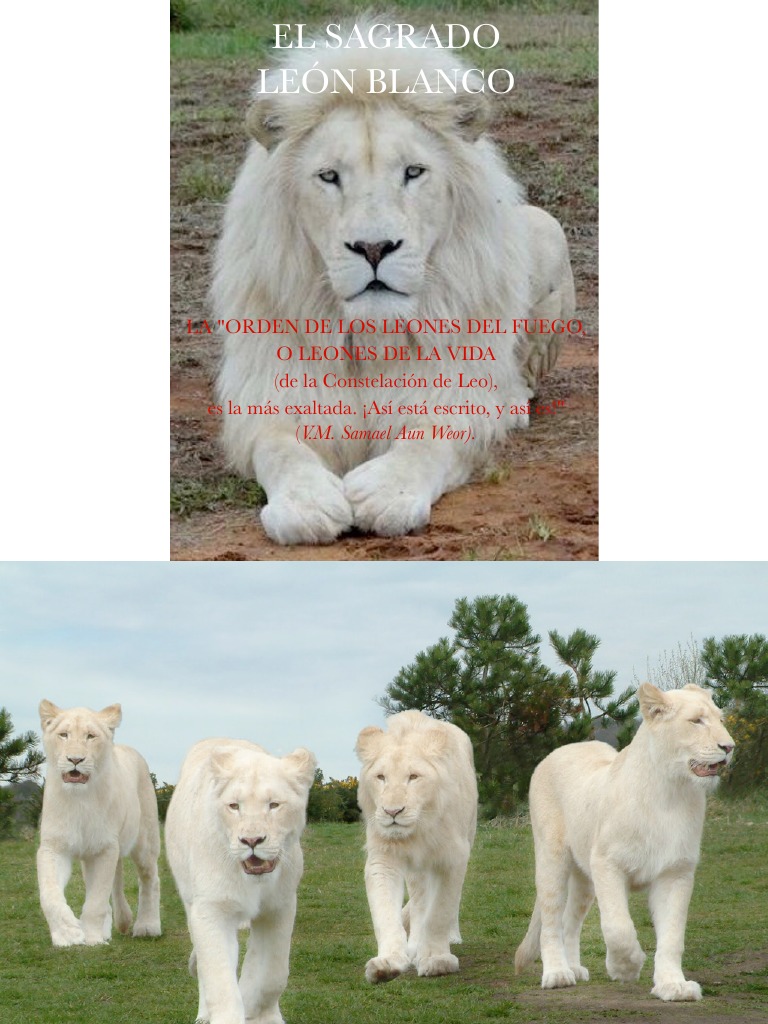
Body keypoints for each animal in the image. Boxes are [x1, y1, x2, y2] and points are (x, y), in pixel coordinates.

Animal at [36, 700, 161, 947]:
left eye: (90, 736)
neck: (79, 799)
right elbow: (50, 893)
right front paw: (68, 933)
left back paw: (147, 926)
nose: (75, 760)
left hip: (145, 843)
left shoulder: (104, 848)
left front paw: (92, 937)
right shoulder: (54, 847)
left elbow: (96, 900)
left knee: (150, 879)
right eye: (64, 735)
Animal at [165, 738, 316, 1024]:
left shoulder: (279, 907)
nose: (252, 841)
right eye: (234, 806)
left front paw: (258, 1011)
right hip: (190, 901)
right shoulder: (211, 909)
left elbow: (272, 974)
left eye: (273, 805)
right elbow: (220, 980)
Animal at [213, 21, 575, 544]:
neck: (371, 334)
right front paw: (306, 505)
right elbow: (280, 446)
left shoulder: (452, 389)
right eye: (328, 176)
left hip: (548, 229)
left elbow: (428, 439)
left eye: (413, 172)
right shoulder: (272, 391)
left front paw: (386, 494)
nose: (374, 248)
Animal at [355, 709, 478, 983]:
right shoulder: (384, 858)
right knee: (420, 900)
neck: (419, 830)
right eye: (381, 777)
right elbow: (386, 915)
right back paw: (413, 946)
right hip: (417, 870)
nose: (392, 812)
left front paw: (437, 959)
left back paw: (450, 938)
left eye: (413, 777)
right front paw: (388, 963)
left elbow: (440, 910)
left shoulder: (453, 858)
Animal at [514, 684, 735, 1002]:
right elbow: (618, 926)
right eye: (696, 721)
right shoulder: (607, 863)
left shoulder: (676, 872)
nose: (729, 747)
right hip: (552, 859)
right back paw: (557, 974)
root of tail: (561, 749)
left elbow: (672, 936)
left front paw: (673, 986)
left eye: (720, 719)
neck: (671, 793)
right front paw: (625, 968)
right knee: (551, 919)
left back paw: (575, 968)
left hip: (584, 878)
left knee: (570, 921)